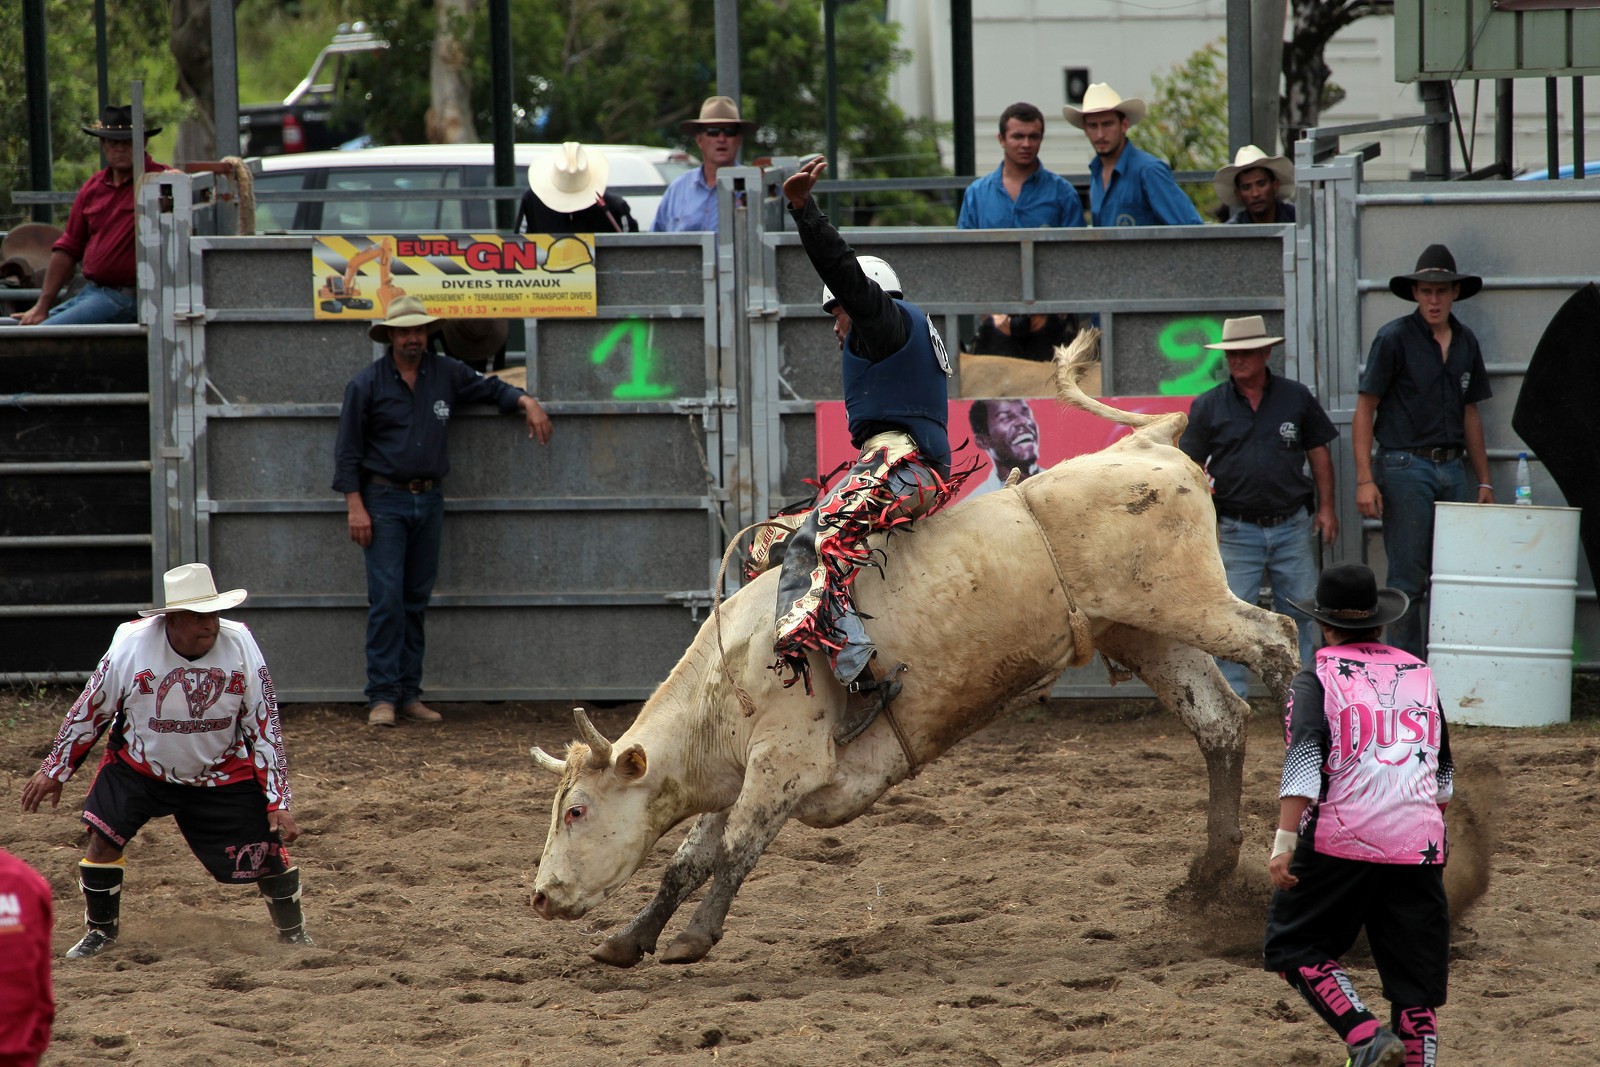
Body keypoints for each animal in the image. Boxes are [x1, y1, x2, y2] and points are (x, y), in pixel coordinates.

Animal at [528, 337, 1299, 968]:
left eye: (577, 811)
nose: (538, 896)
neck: (730, 675)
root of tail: (1144, 444)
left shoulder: (786, 761)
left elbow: (738, 846)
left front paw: (692, 937)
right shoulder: (742, 770)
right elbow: (689, 858)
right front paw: (629, 938)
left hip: (1189, 600)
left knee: (1279, 644)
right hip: (1146, 630)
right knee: (1218, 721)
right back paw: (1205, 880)